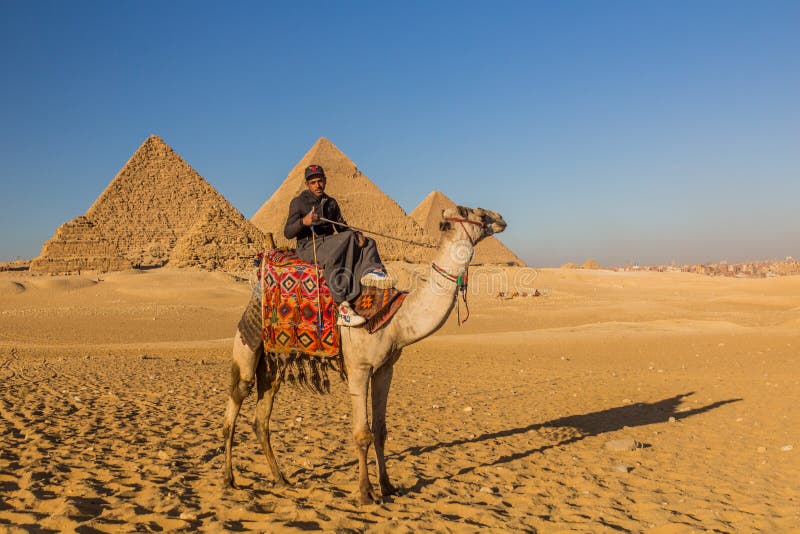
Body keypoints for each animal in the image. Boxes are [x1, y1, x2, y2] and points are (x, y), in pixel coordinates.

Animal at [222, 205, 507, 504]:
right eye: (473, 212)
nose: (499, 218)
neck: (396, 320)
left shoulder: (385, 369)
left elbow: (380, 431)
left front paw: (388, 486)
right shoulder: (358, 368)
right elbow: (362, 434)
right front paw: (365, 492)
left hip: (273, 363)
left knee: (261, 419)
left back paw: (280, 479)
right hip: (248, 342)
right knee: (234, 408)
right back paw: (229, 480)